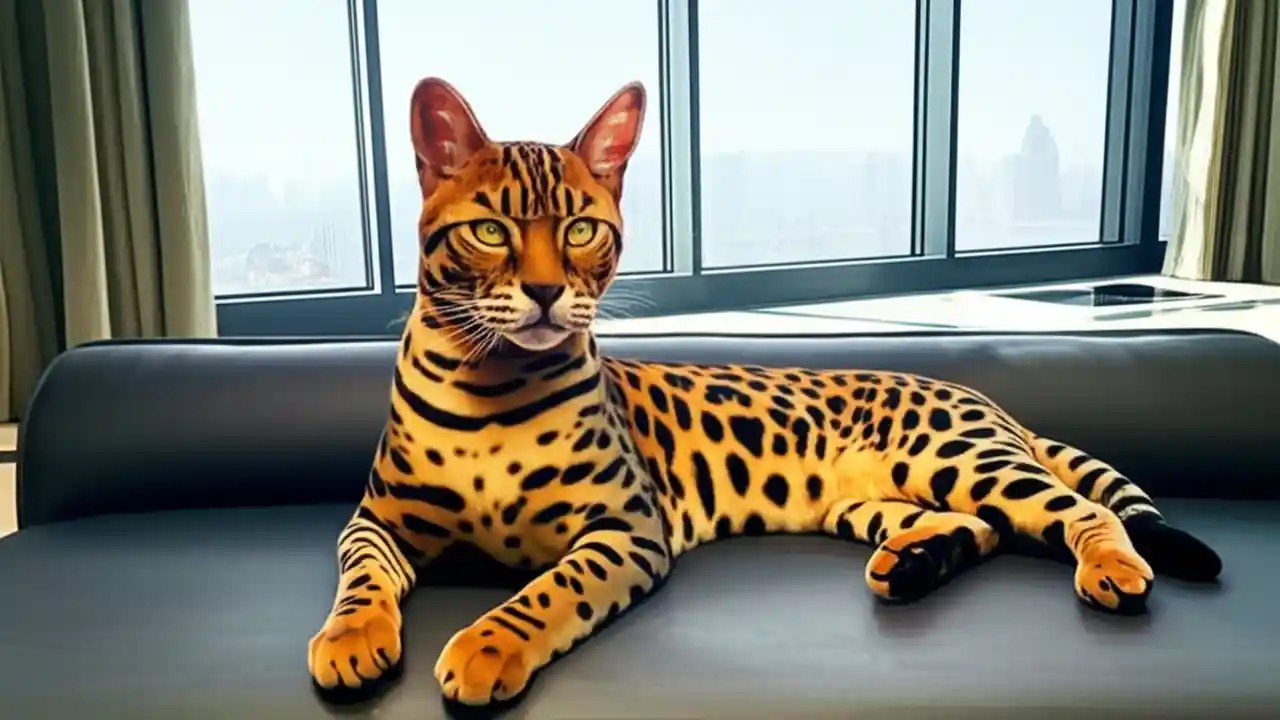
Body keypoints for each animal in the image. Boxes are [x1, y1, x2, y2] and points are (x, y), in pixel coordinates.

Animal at [307, 76, 1223, 708]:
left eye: (582, 229)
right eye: (492, 230)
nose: (542, 294)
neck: (486, 380)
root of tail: (983, 397)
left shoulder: (625, 527)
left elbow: (543, 593)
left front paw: (486, 647)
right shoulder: (376, 519)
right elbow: (360, 578)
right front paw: (349, 639)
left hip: (961, 458)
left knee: (1081, 511)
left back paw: (1114, 569)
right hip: (871, 501)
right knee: (980, 529)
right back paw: (914, 564)